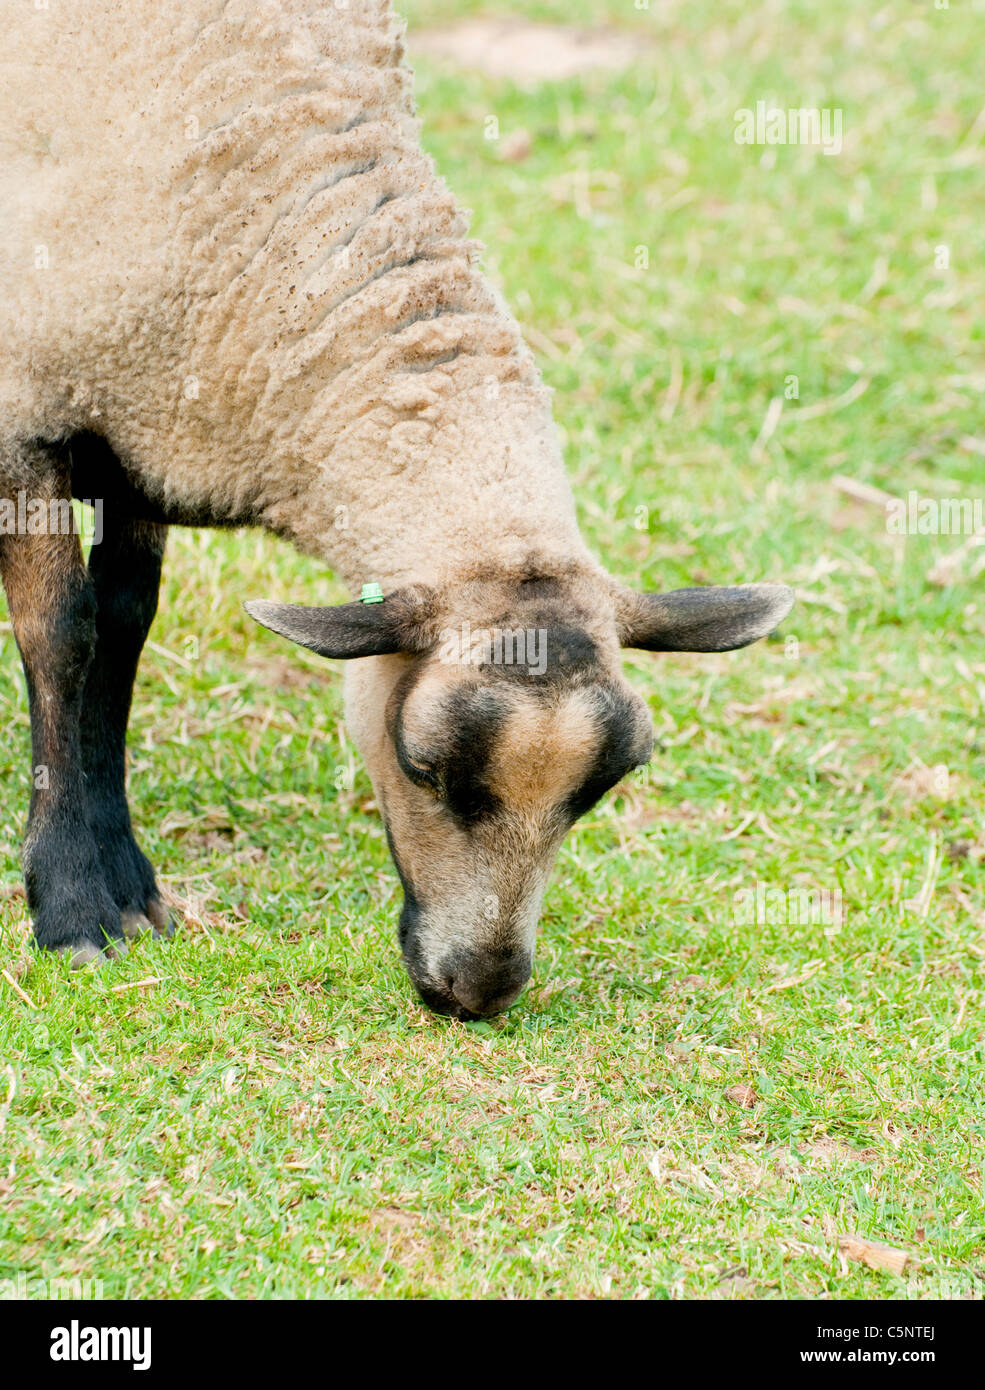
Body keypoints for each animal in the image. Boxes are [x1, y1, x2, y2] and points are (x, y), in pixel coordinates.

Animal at [0, 0, 794, 1018]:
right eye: (423, 767)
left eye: (598, 791)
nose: (478, 992)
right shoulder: (31, 399)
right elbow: (65, 637)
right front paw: (72, 906)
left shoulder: (152, 421)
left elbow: (124, 628)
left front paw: (129, 885)